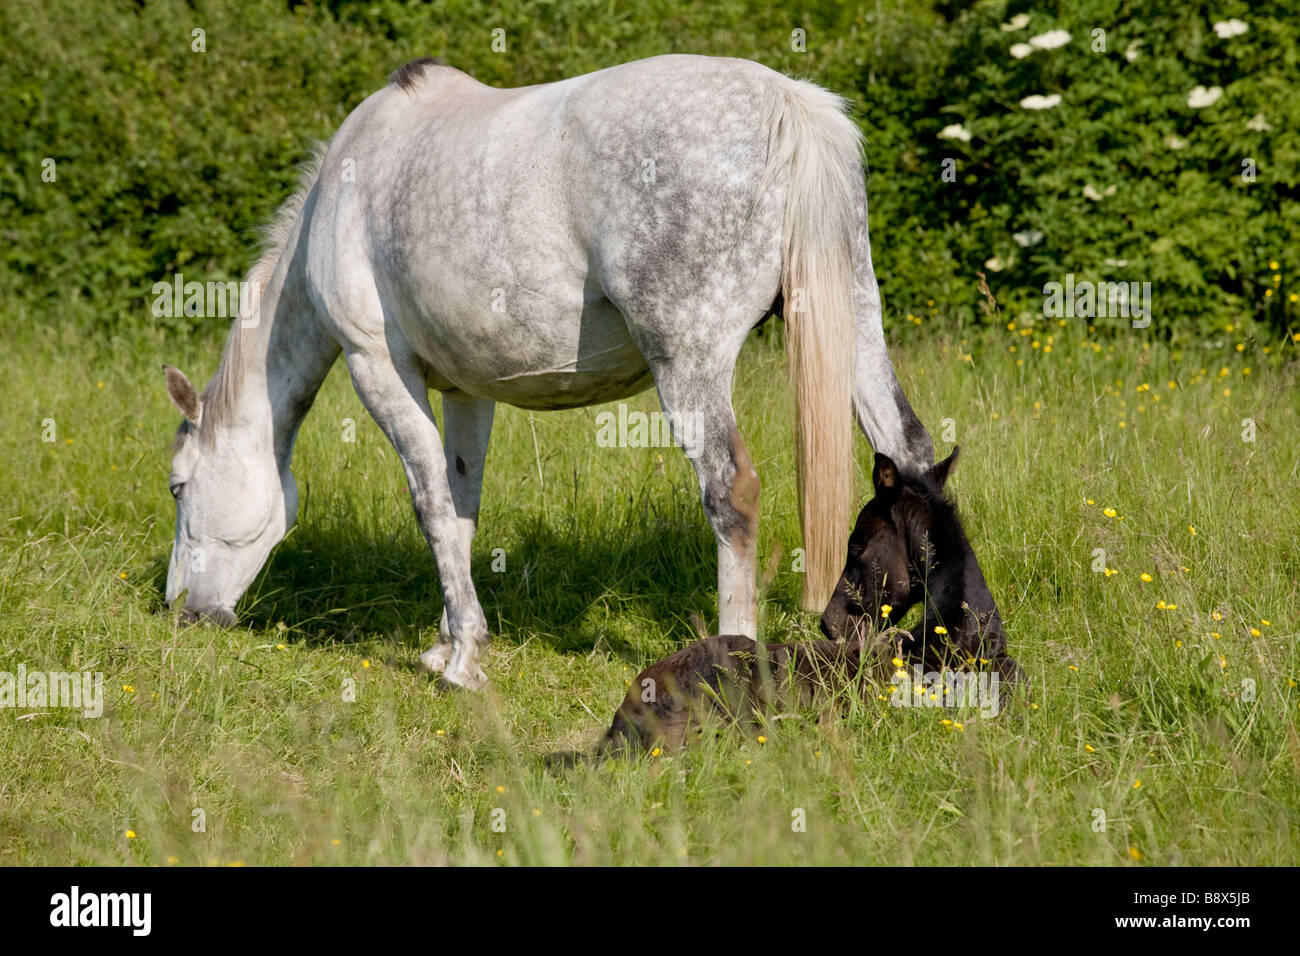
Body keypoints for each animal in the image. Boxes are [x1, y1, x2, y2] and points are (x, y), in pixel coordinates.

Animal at [162, 54, 933, 689]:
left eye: (178, 486)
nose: (180, 610)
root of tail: (787, 101)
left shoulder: (378, 367)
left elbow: (430, 504)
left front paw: (464, 660)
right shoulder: (468, 392)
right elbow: (461, 506)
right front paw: (446, 644)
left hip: (689, 361)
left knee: (730, 489)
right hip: (856, 324)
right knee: (909, 454)